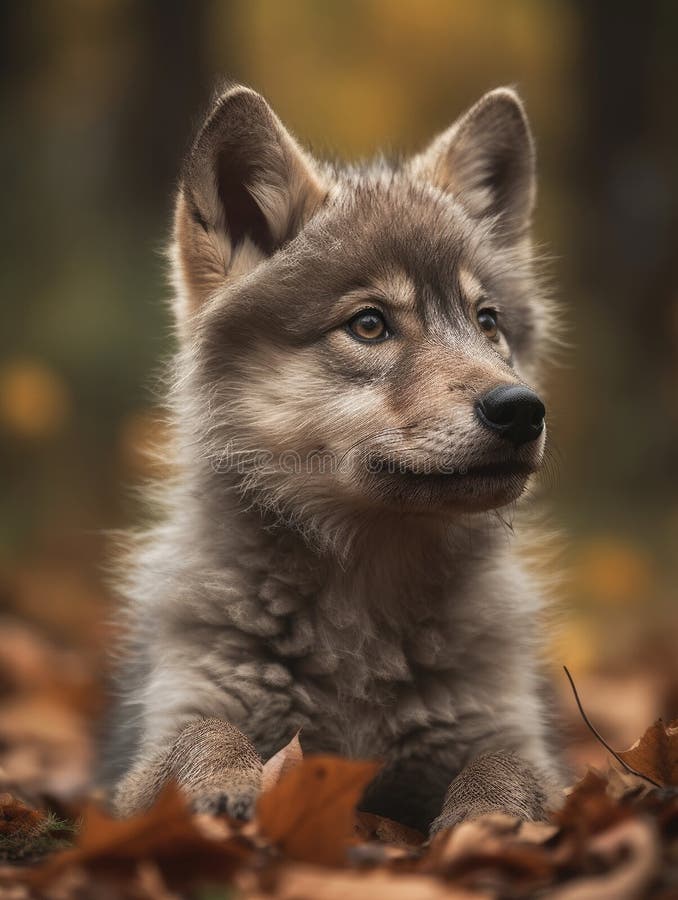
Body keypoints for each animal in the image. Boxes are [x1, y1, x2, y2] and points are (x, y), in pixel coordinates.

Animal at [105, 83, 563, 833]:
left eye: (487, 321)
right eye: (370, 325)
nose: (522, 409)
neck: (362, 613)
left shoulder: (513, 737)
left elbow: (503, 768)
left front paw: (488, 824)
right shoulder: (154, 747)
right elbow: (204, 732)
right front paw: (224, 783)